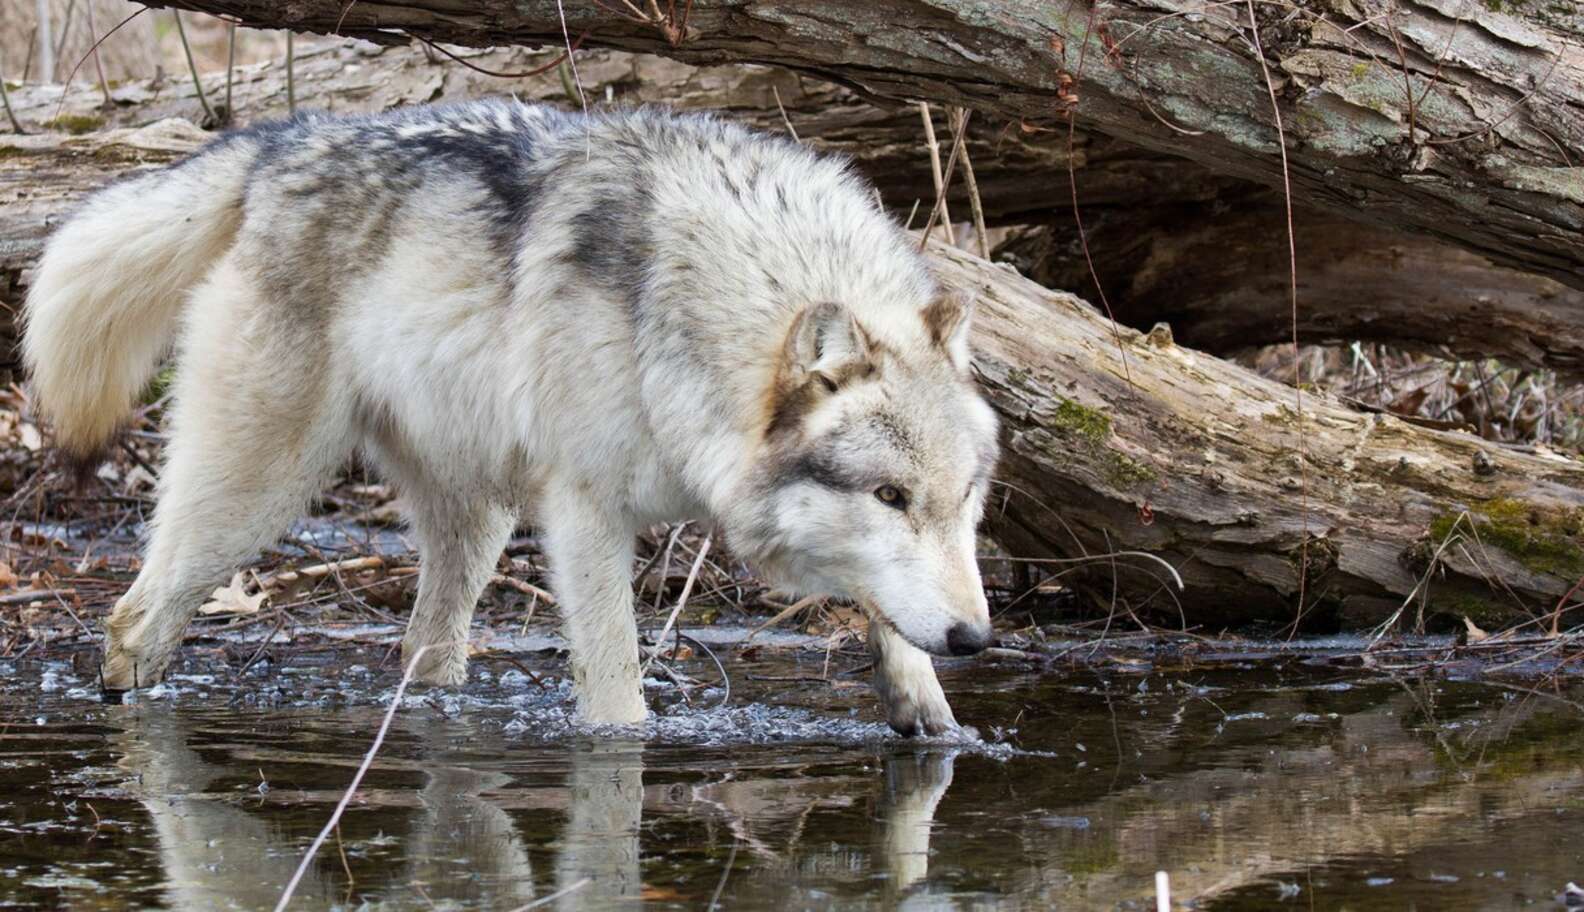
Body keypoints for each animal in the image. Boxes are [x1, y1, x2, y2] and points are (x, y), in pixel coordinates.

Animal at [23, 101, 1000, 734]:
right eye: (888, 496)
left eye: (961, 500)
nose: (977, 639)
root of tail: (274, 146)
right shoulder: (585, 514)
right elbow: (617, 703)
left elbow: (892, 613)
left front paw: (930, 712)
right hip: (260, 495)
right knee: (134, 623)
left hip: (478, 521)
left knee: (426, 651)